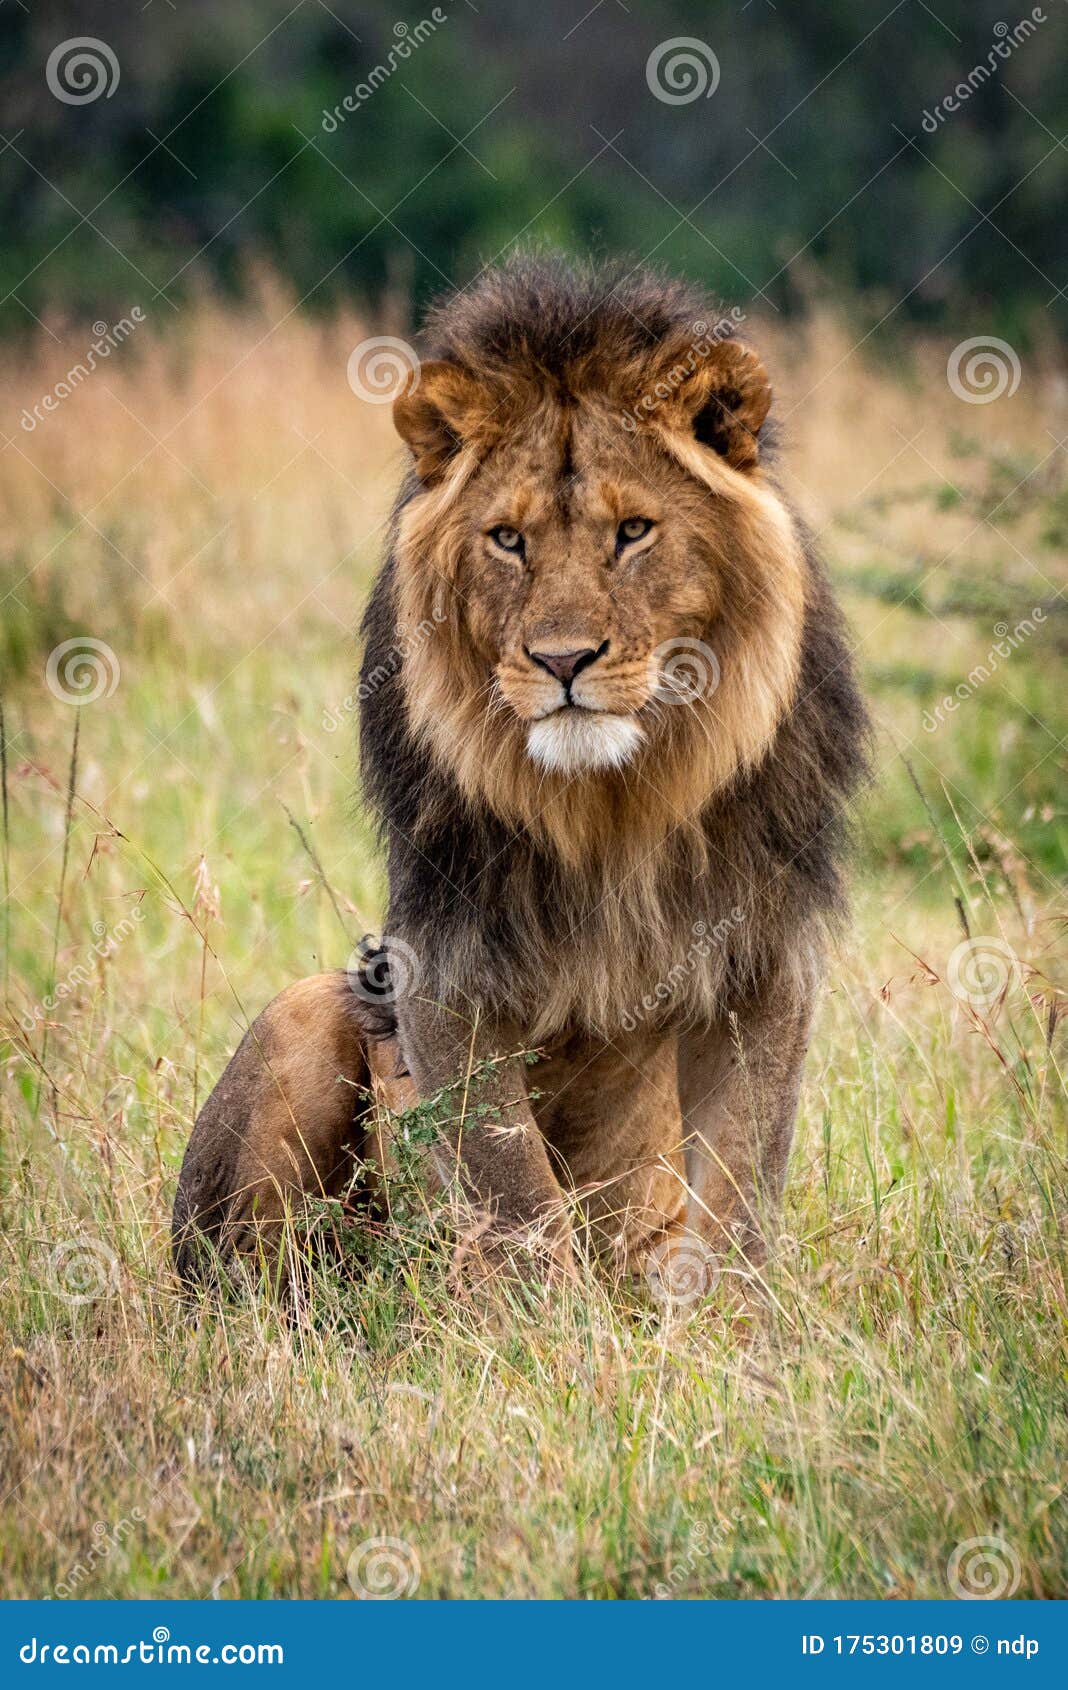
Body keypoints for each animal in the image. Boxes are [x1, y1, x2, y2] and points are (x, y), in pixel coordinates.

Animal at [173, 256, 868, 1299]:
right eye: (507, 539)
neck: (613, 804)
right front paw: (547, 1326)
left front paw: (728, 1327)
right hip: (305, 1022)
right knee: (251, 1276)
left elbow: (740, 1186)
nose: (563, 660)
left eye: (634, 531)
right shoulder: (445, 963)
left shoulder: (767, 957)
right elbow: (514, 1190)